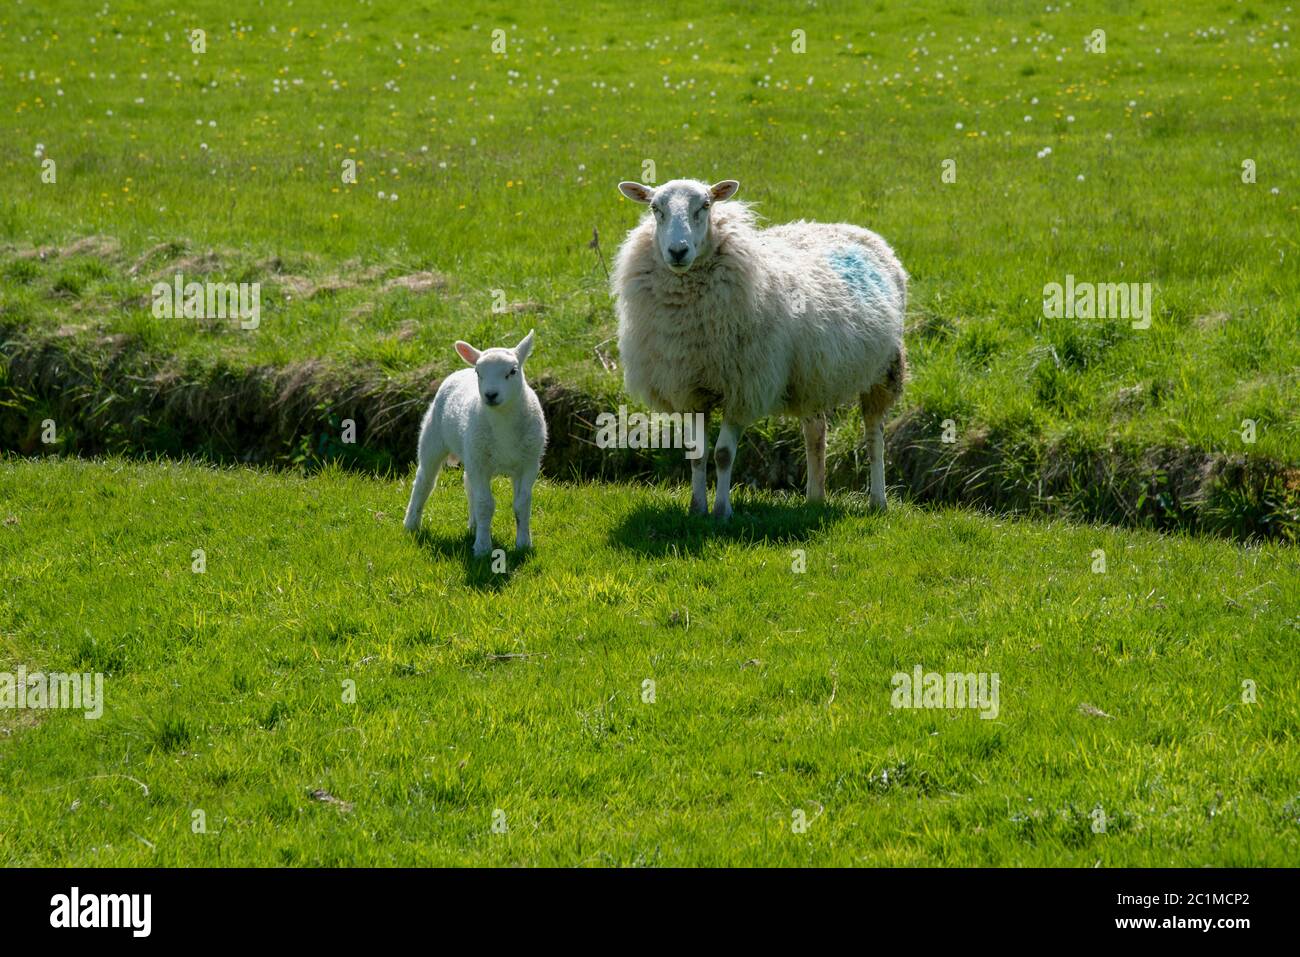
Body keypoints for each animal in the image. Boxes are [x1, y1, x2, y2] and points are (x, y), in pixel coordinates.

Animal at [403, 330, 546, 557]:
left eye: (513, 371)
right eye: (479, 372)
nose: (490, 395)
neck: (503, 421)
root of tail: (461, 370)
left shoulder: (528, 464)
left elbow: (522, 504)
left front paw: (524, 543)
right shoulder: (480, 465)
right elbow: (485, 504)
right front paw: (482, 548)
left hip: (472, 450)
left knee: (468, 484)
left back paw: (474, 526)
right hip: (434, 440)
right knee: (424, 481)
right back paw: (411, 524)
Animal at [611, 178, 907, 518]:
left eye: (706, 205)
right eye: (654, 208)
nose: (677, 251)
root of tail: (850, 227)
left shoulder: (742, 387)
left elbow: (723, 454)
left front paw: (722, 512)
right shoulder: (690, 390)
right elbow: (696, 454)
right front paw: (697, 509)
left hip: (884, 369)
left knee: (873, 437)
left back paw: (877, 501)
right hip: (813, 376)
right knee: (816, 433)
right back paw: (814, 499)